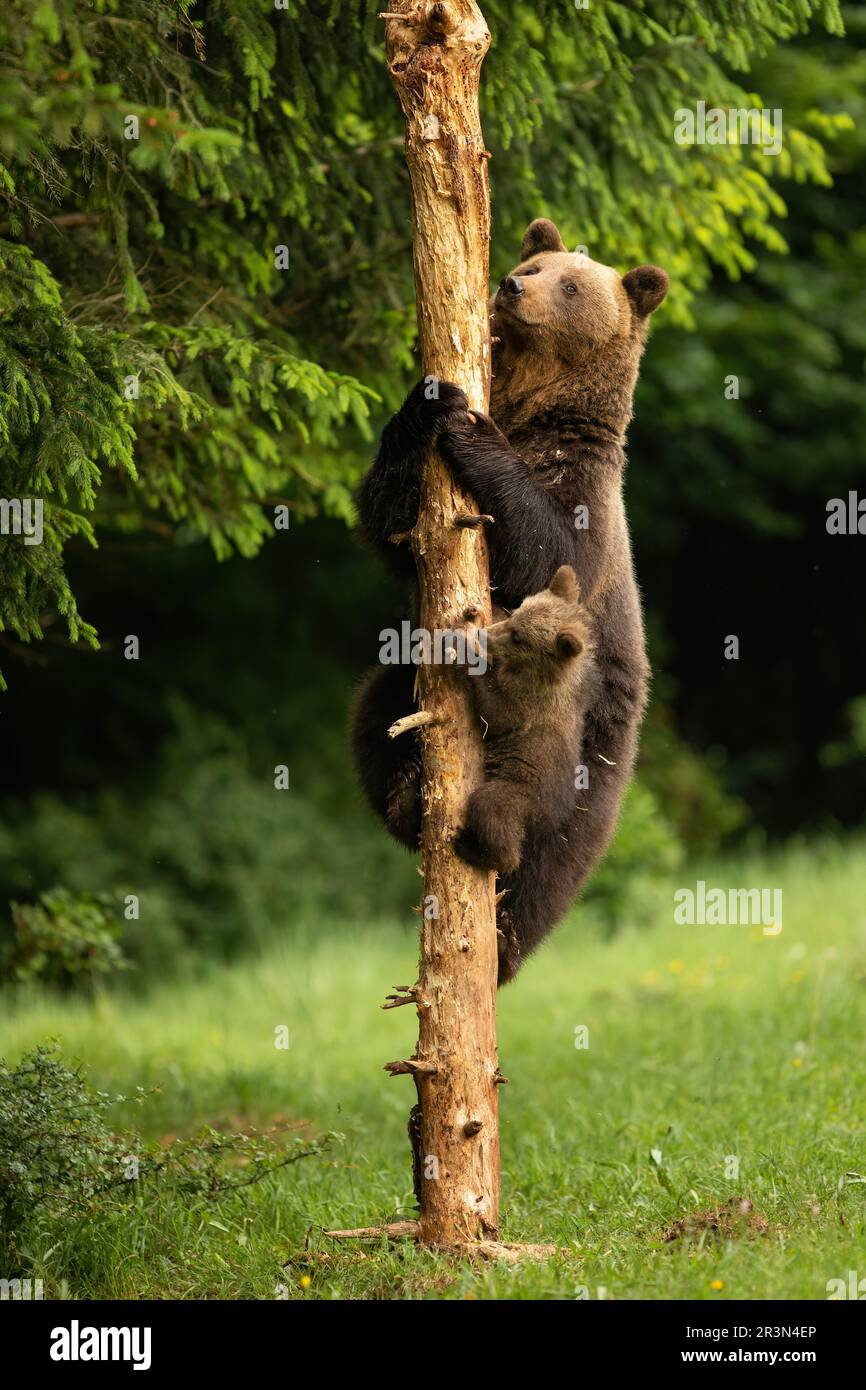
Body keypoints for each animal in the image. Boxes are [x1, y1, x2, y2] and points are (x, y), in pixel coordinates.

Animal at [353, 216, 667, 983]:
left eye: (573, 284)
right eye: (535, 263)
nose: (512, 286)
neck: (534, 408)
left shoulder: (579, 498)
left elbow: (545, 552)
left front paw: (474, 434)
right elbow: (390, 520)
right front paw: (434, 405)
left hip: (587, 755)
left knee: (552, 864)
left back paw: (502, 942)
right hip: (400, 681)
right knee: (374, 716)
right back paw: (407, 795)